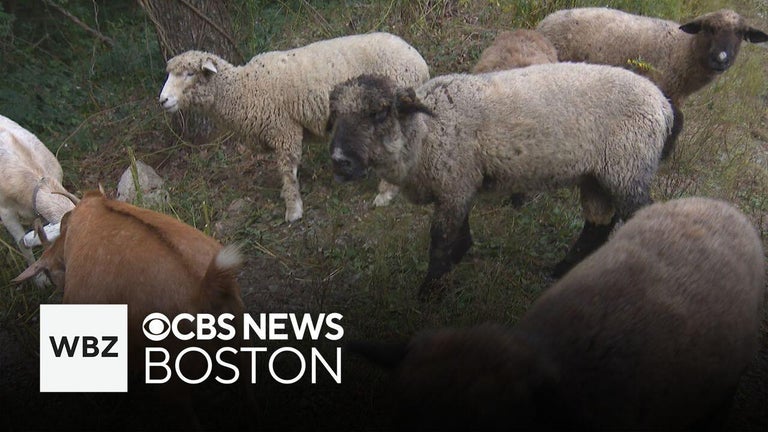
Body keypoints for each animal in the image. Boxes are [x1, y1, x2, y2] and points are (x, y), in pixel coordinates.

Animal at [158, 32, 430, 223]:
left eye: (190, 73)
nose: (163, 100)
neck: (245, 89)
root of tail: (419, 61)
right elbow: (291, 169)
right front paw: (287, 194)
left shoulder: (283, 128)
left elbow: (287, 169)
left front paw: (293, 208)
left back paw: (385, 193)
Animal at [328, 65, 674, 299]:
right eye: (335, 115)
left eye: (379, 113)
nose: (339, 160)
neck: (427, 131)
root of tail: (663, 104)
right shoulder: (460, 182)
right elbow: (458, 231)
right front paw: (457, 258)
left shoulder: (454, 183)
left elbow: (440, 238)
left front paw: (431, 289)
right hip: (597, 174)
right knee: (597, 223)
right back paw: (563, 269)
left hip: (628, 165)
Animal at [536, 8, 768, 158]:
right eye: (709, 28)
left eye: (740, 33)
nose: (721, 59)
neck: (684, 49)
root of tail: (545, 22)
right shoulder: (662, 85)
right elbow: (678, 120)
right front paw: (665, 153)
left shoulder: (674, 91)